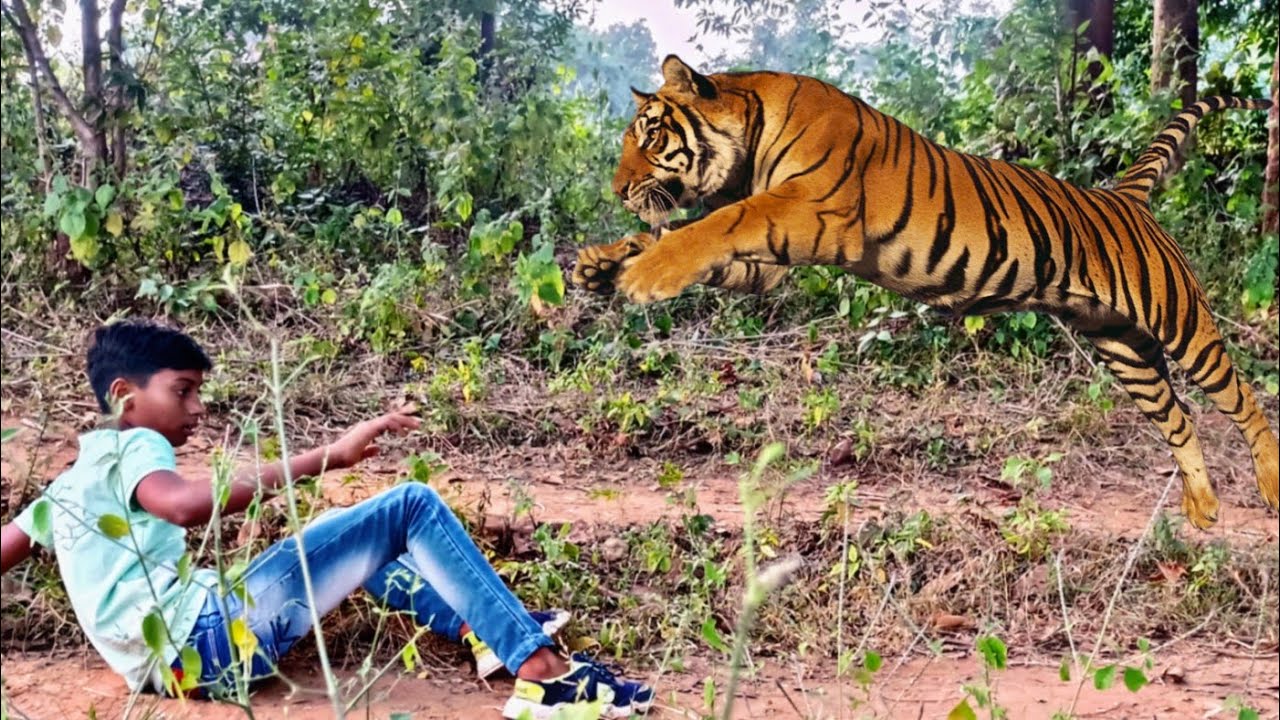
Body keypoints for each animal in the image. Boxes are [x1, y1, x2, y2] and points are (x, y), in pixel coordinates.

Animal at [571, 54, 1279, 530]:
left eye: (652, 136)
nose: (617, 190)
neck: (750, 143)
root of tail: (1125, 195)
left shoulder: (806, 210)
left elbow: (713, 224)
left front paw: (645, 274)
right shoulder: (771, 262)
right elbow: (687, 235)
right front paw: (600, 264)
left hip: (1180, 321)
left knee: (1243, 400)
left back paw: (1269, 482)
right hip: (1123, 347)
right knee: (1180, 419)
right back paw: (1203, 507)